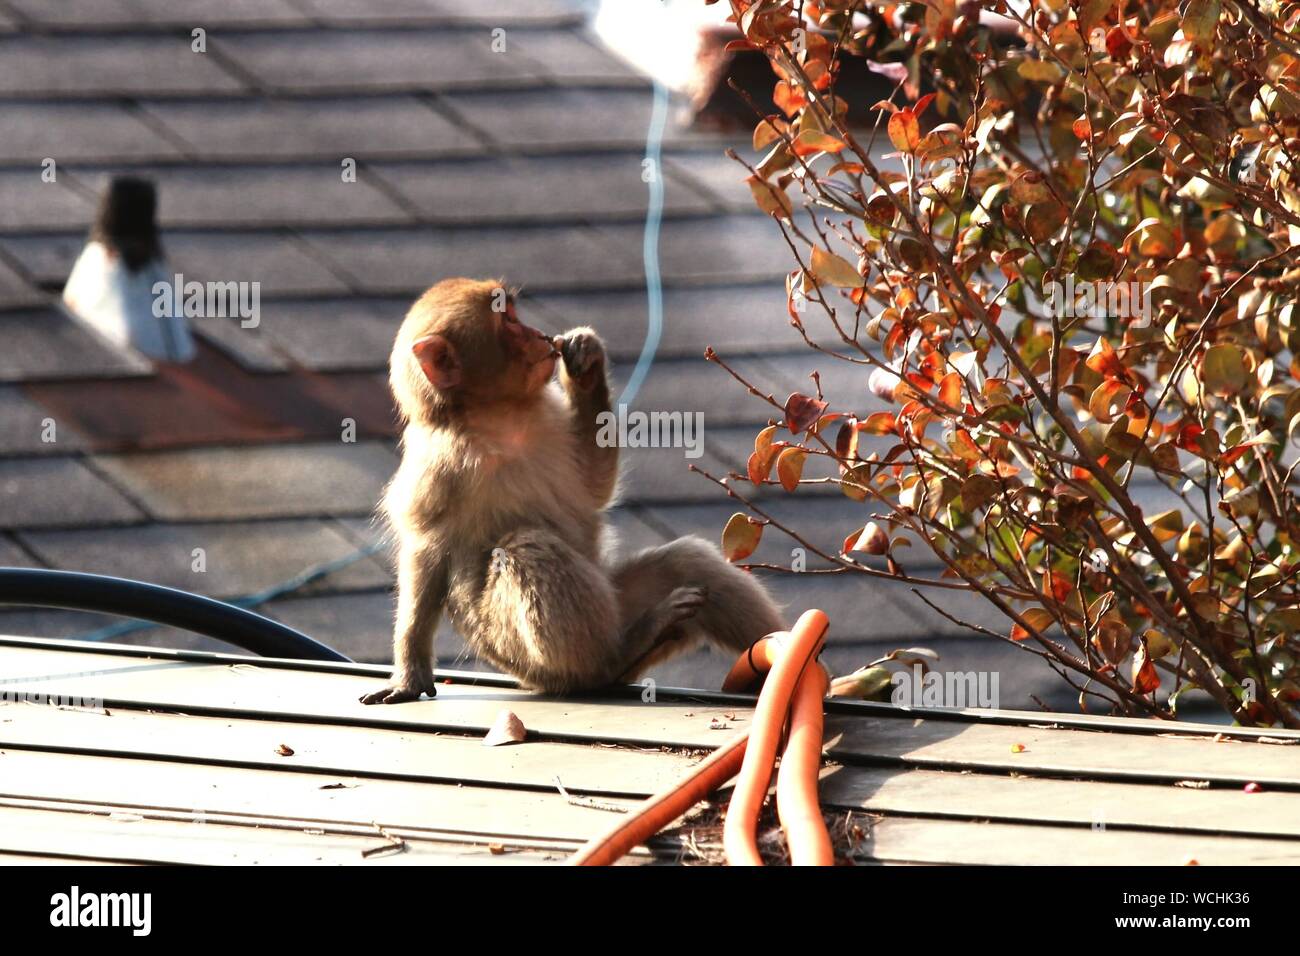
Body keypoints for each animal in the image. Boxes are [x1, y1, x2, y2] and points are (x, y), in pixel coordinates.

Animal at [360, 277, 785, 703]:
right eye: (507, 322)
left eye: (514, 313)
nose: (537, 335)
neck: (498, 419)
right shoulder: (437, 470)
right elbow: (426, 555)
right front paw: (410, 677)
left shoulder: (550, 418)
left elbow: (593, 485)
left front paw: (585, 364)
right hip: (524, 655)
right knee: (526, 549)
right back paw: (617, 655)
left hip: (616, 600)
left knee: (686, 561)